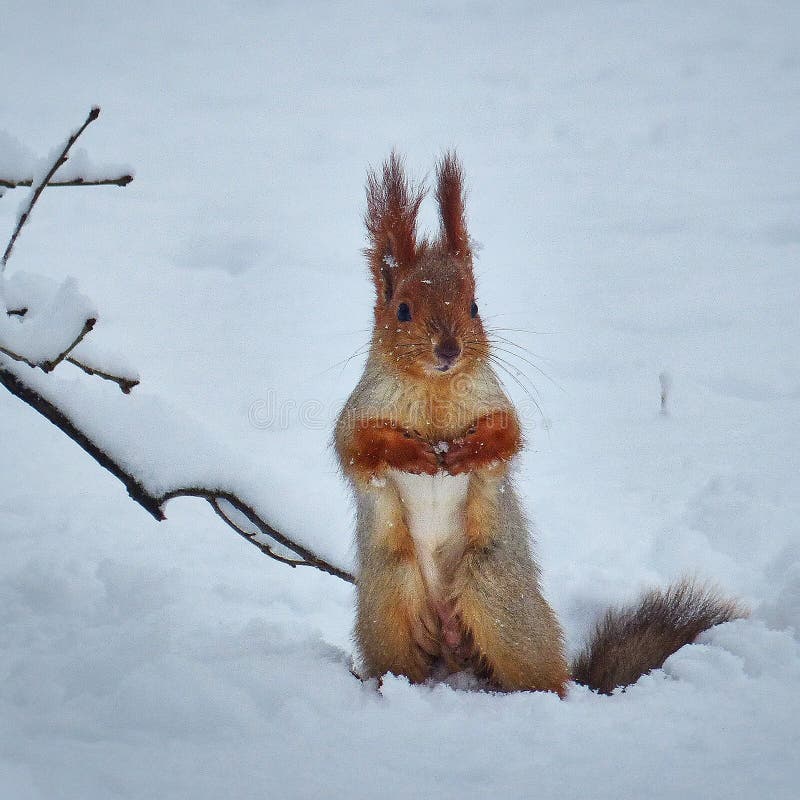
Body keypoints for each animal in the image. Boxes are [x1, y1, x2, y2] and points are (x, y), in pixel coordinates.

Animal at [335, 152, 744, 697]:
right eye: (402, 310)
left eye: (474, 306)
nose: (449, 349)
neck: (436, 394)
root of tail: (452, 646)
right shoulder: (359, 411)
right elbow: (356, 445)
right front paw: (415, 453)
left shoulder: (496, 402)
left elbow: (507, 435)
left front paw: (465, 453)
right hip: (391, 599)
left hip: (497, 596)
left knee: (545, 675)